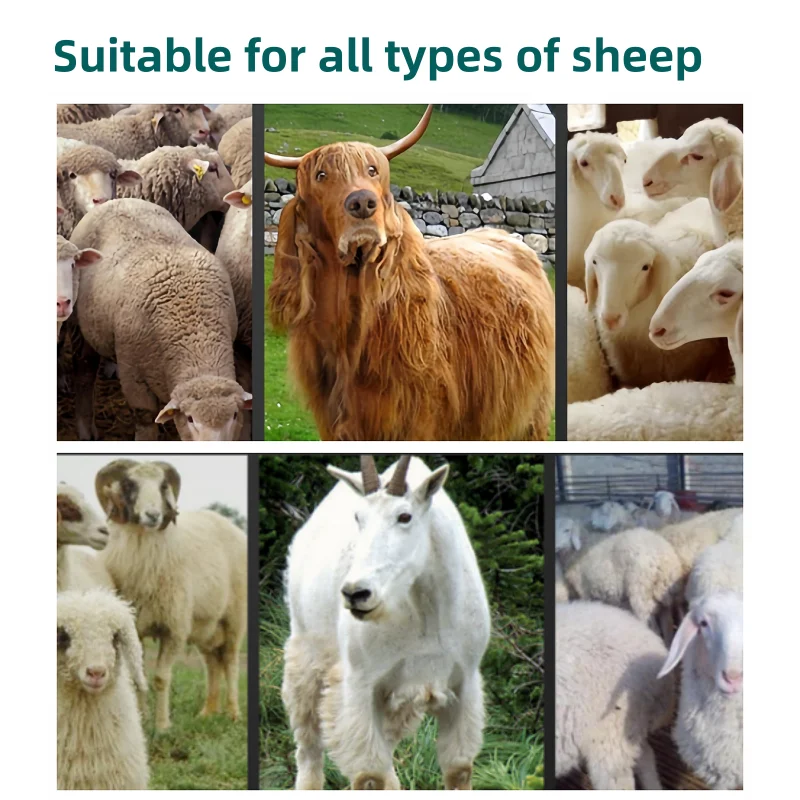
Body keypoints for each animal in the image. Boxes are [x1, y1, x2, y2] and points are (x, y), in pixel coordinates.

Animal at [70, 199, 251, 441]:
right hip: (79, 325)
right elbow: (145, 419)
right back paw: (85, 429)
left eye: (234, 416)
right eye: (190, 419)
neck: (196, 331)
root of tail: (120, 200)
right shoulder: (132, 374)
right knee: (84, 372)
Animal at [96, 459, 247, 730]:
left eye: (163, 485)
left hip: (234, 620)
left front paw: (163, 725)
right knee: (212, 664)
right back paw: (208, 712)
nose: (153, 516)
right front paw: (142, 720)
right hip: (206, 628)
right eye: (129, 484)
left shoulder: (174, 629)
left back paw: (233, 713)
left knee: (230, 663)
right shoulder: (134, 627)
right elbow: (138, 678)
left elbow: (160, 678)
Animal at [282, 456, 490, 789]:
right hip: (307, 649)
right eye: (358, 517)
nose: (356, 593)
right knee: (308, 739)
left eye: (404, 516)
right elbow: (370, 776)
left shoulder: (464, 680)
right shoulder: (361, 683)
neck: (425, 611)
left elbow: (458, 769)